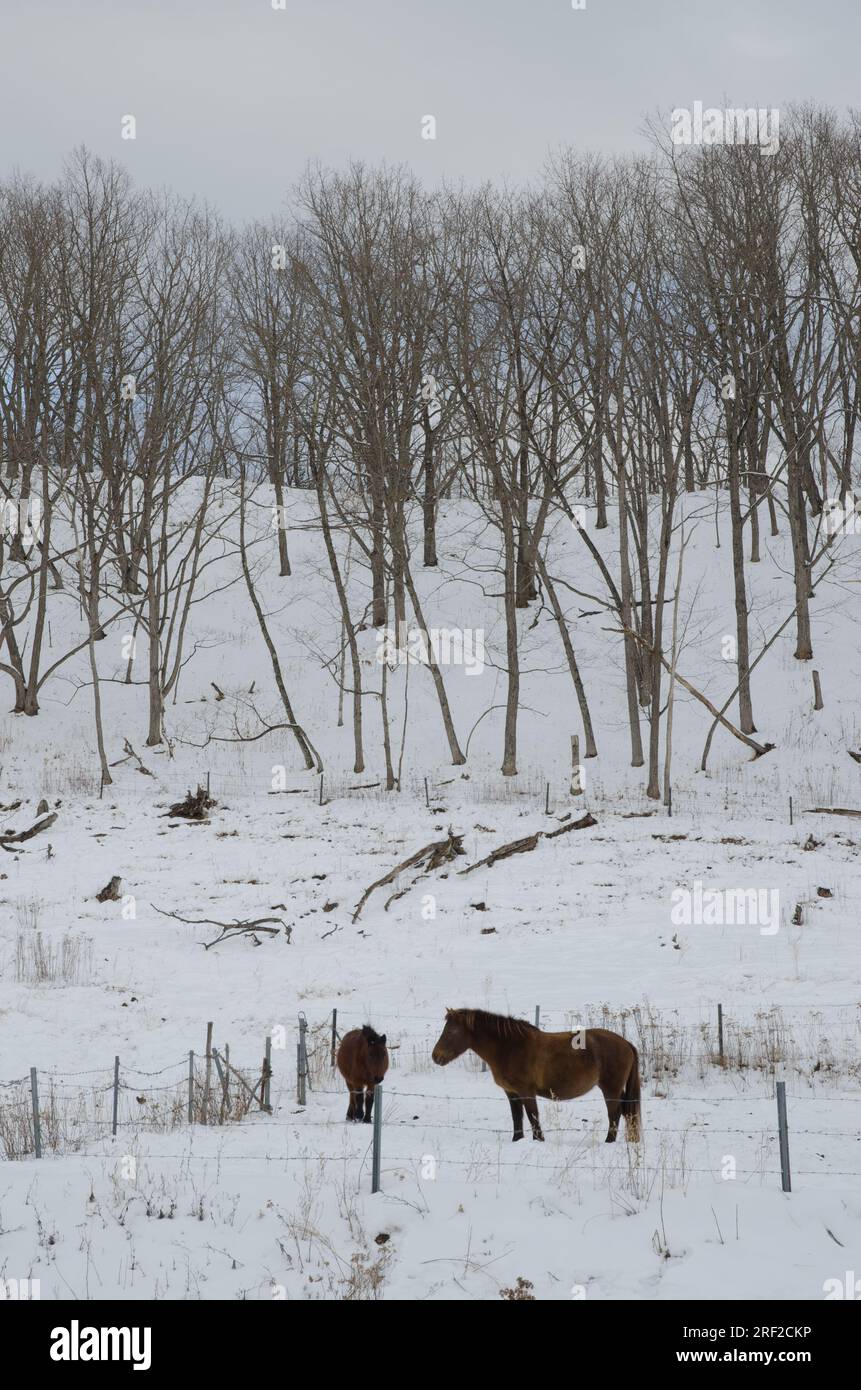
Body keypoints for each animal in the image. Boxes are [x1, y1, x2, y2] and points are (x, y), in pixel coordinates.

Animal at [432, 1008, 641, 1143]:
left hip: (610, 1088)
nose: (436, 1057)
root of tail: (625, 1043)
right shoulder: (511, 1093)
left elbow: (532, 1117)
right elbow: (517, 1118)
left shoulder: (526, 1091)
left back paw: (609, 1141)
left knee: (614, 1114)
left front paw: (538, 1140)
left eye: (451, 1031)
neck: (509, 1047)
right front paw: (517, 1140)